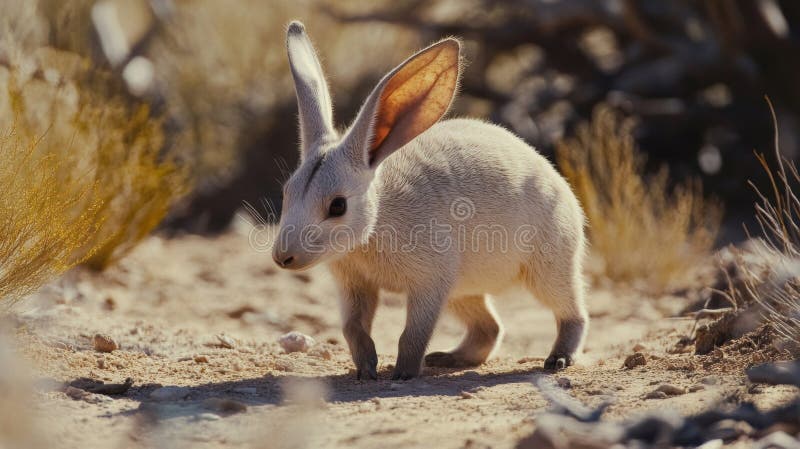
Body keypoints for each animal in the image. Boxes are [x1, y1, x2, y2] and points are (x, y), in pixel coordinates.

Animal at [272, 21, 588, 380]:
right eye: (286, 192)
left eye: (338, 205)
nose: (283, 257)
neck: (376, 220)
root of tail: (562, 189)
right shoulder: (355, 285)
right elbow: (353, 328)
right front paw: (366, 370)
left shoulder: (430, 283)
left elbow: (413, 334)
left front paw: (403, 374)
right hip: (462, 291)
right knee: (489, 329)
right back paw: (447, 358)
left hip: (548, 268)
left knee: (572, 313)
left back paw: (558, 359)